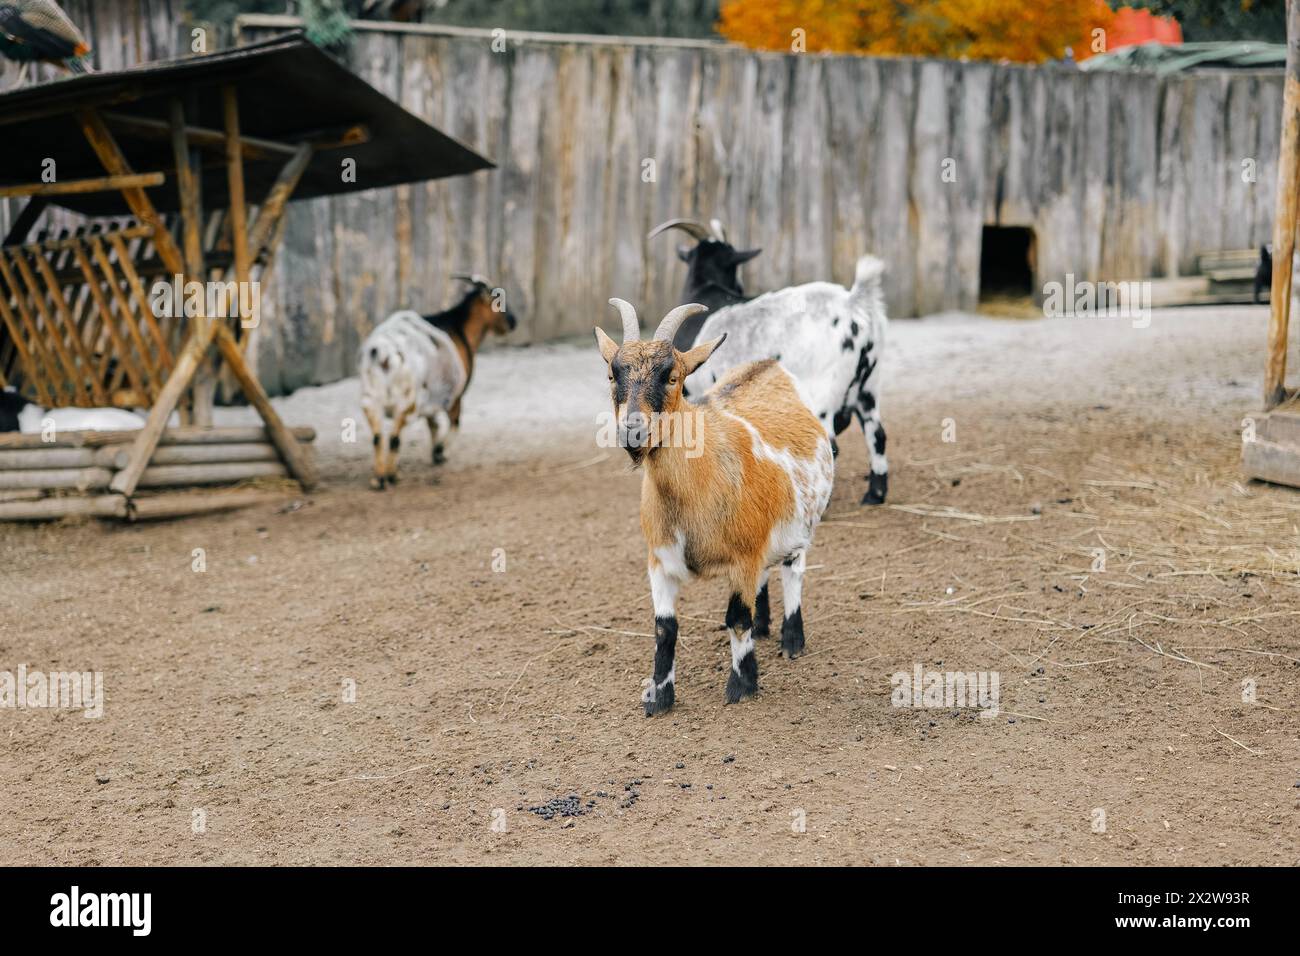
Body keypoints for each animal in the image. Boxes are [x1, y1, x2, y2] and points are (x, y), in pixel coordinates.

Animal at [359, 275, 516, 489]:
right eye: (499, 302)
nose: (513, 322)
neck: (459, 328)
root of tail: (384, 352)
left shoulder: (432, 397)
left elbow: (433, 424)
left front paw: (436, 452)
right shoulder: (455, 395)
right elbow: (455, 424)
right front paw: (440, 451)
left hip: (370, 400)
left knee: (377, 437)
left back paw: (378, 478)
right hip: (406, 402)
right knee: (394, 438)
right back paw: (392, 476)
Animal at [594, 297, 835, 714]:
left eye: (672, 376)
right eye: (612, 374)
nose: (633, 431)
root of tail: (767, 364)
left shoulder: (742, 558)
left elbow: (736, 618)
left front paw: (742, 685)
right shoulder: (659, 560)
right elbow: (664, 628)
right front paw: (659, 697)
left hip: (800, 525)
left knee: (793, 570)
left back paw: (791, 640)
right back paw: (765, 627)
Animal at [651, 217, 890, 505]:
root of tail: (854, 303)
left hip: (824, 391)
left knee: (831, 444)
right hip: (868, 386)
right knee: (877, 434)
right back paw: (874, 494)